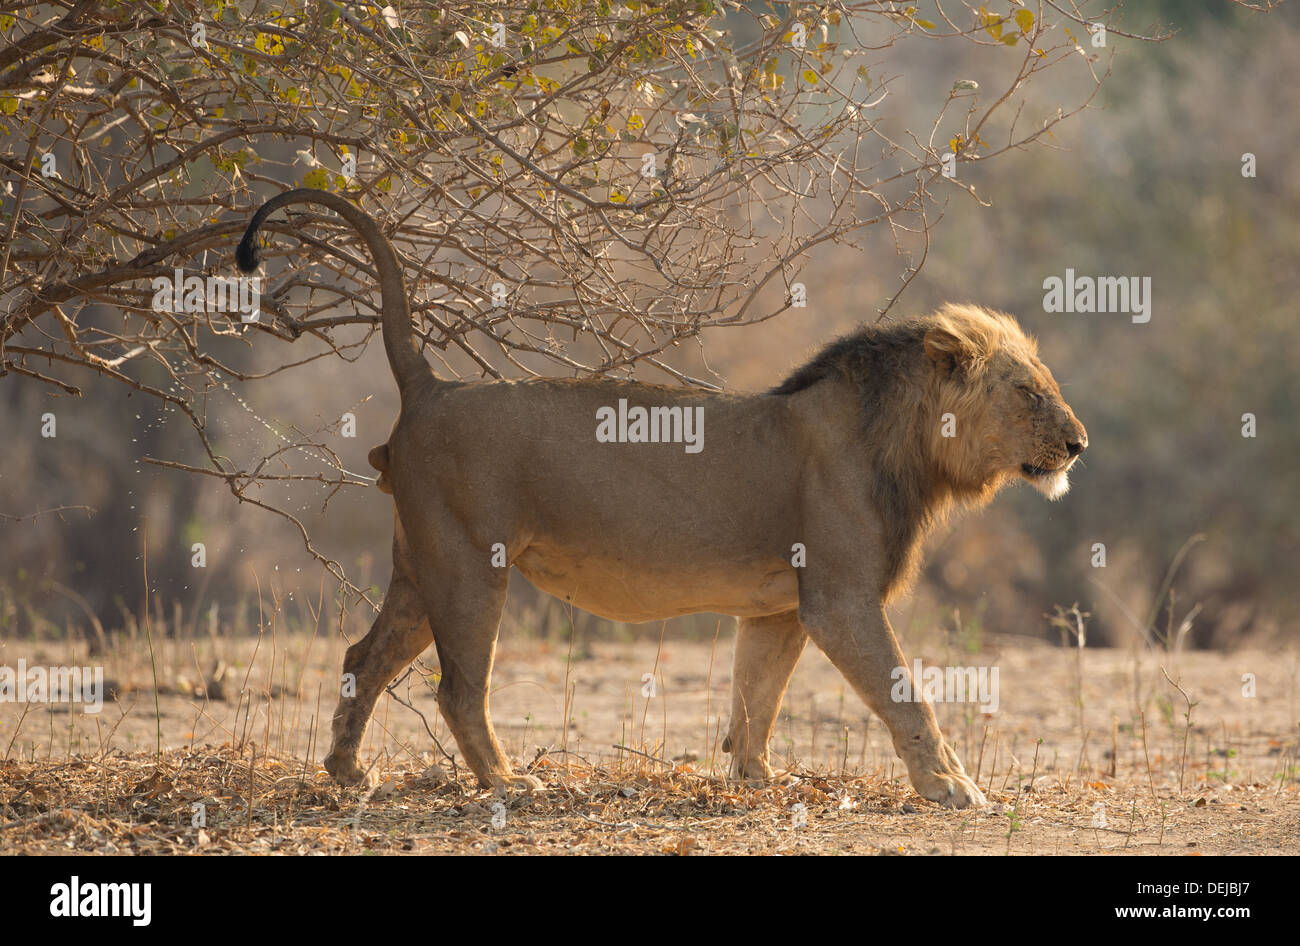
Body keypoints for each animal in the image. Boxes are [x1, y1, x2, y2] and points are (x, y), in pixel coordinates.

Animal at [237, 190, 1087, 809]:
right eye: (1026, 389)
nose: (1080, 443)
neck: (904, 445)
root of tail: (431, 384)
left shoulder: (782, 607)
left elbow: (756, 694)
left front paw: (755, 777)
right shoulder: (840, 599)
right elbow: (907, 695)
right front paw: (953, 787)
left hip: (421, 568)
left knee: (364, 656)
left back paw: (349, 772)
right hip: (471, 564)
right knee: (458, 687)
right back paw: (507, 781)